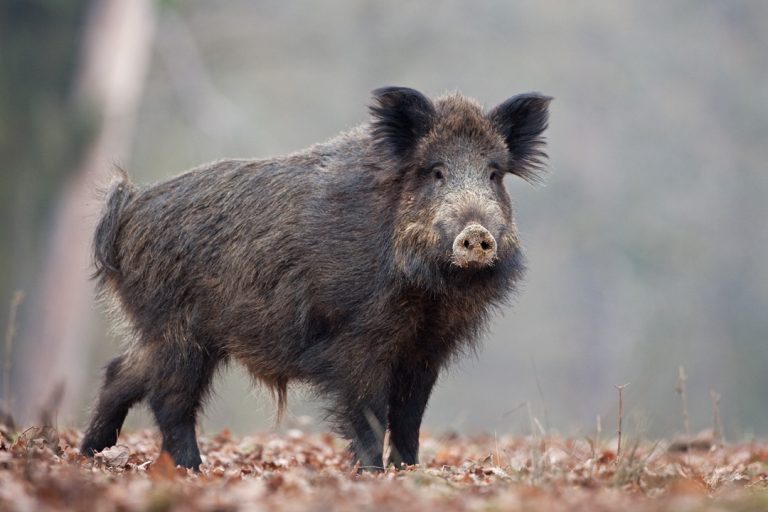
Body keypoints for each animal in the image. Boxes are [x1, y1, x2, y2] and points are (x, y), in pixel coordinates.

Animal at [81, 87, 551, 471]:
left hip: (169, 333)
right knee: (169, 399)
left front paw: (409, 471)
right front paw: (372, 474)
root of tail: (129, 206)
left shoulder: (426, 349)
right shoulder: (358, 341)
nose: (476, 233)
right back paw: (191, 469)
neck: (427, 294)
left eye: (494, 173)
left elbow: (409, 418)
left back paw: (91, 454)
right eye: (435, 171)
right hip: (178, 331)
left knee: (123, 372)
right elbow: (368, 413)